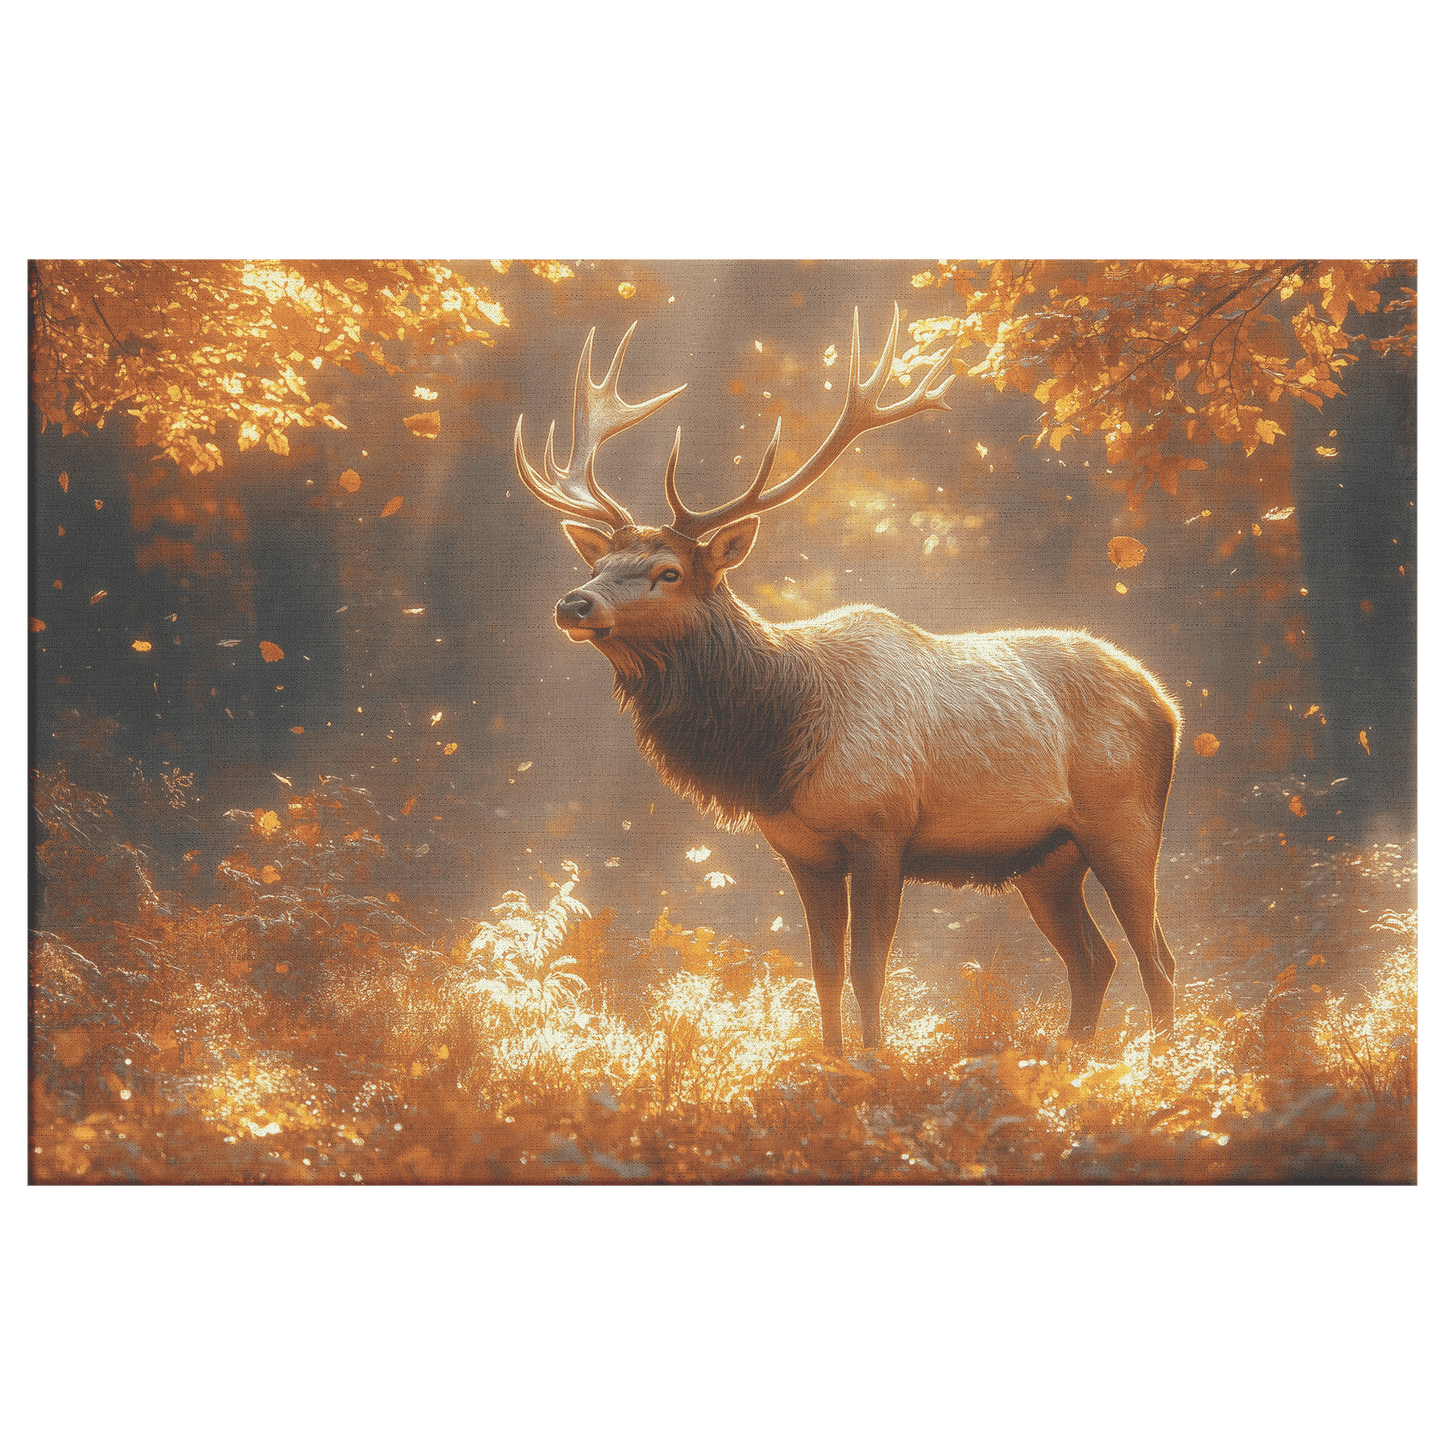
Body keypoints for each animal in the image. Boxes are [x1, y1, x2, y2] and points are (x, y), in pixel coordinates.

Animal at [513, 307, 1181, 1053]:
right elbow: (824, 968)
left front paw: (874, 1061)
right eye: (601, 565)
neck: (774, 746)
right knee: (1095, 958)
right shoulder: (802, 851)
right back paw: (1074, 1055)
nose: (574, 603)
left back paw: (1159, 1061)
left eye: (669, 571)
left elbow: (868, 967)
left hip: (1125, 821)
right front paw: (832, 1060)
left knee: (1156, 957)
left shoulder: (880, 829)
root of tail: (1166, 702)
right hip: (1044, 856)